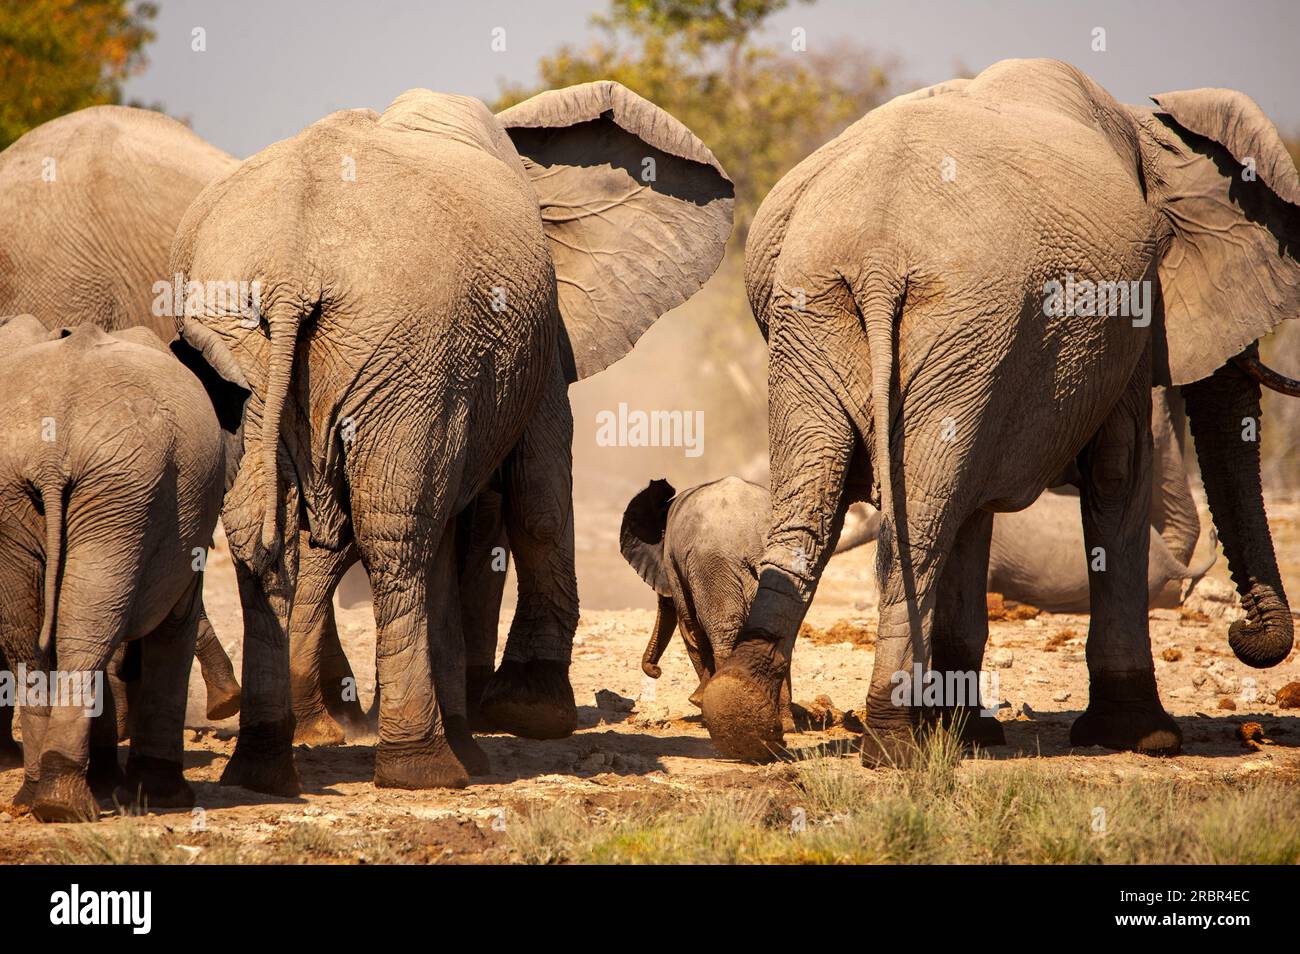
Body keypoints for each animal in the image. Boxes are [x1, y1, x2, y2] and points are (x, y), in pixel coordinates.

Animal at [0, 316, 248, 822]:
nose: (226, 703)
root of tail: (51, 454)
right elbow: (176, 624)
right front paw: (163, 795)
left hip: (55, 490)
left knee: (31, 633)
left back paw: (39, 799)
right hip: (119, 487)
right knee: (87, 625)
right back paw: (64, 802)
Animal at [169, 83, 733, 793]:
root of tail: (293, 268)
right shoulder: (533, 345)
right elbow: (539, 491)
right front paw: (530, 712)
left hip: (246, 356)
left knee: (266, 532)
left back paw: (267, 770)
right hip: (402, 352)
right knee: (398, 531)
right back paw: (425, 769)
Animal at [620, 477, 793, 726]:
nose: (656, 670)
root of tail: (755, 538)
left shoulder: (674, 562)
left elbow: (689, 623)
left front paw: (698, 702)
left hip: (712, 565)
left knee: (723, 631)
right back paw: (786, 724)